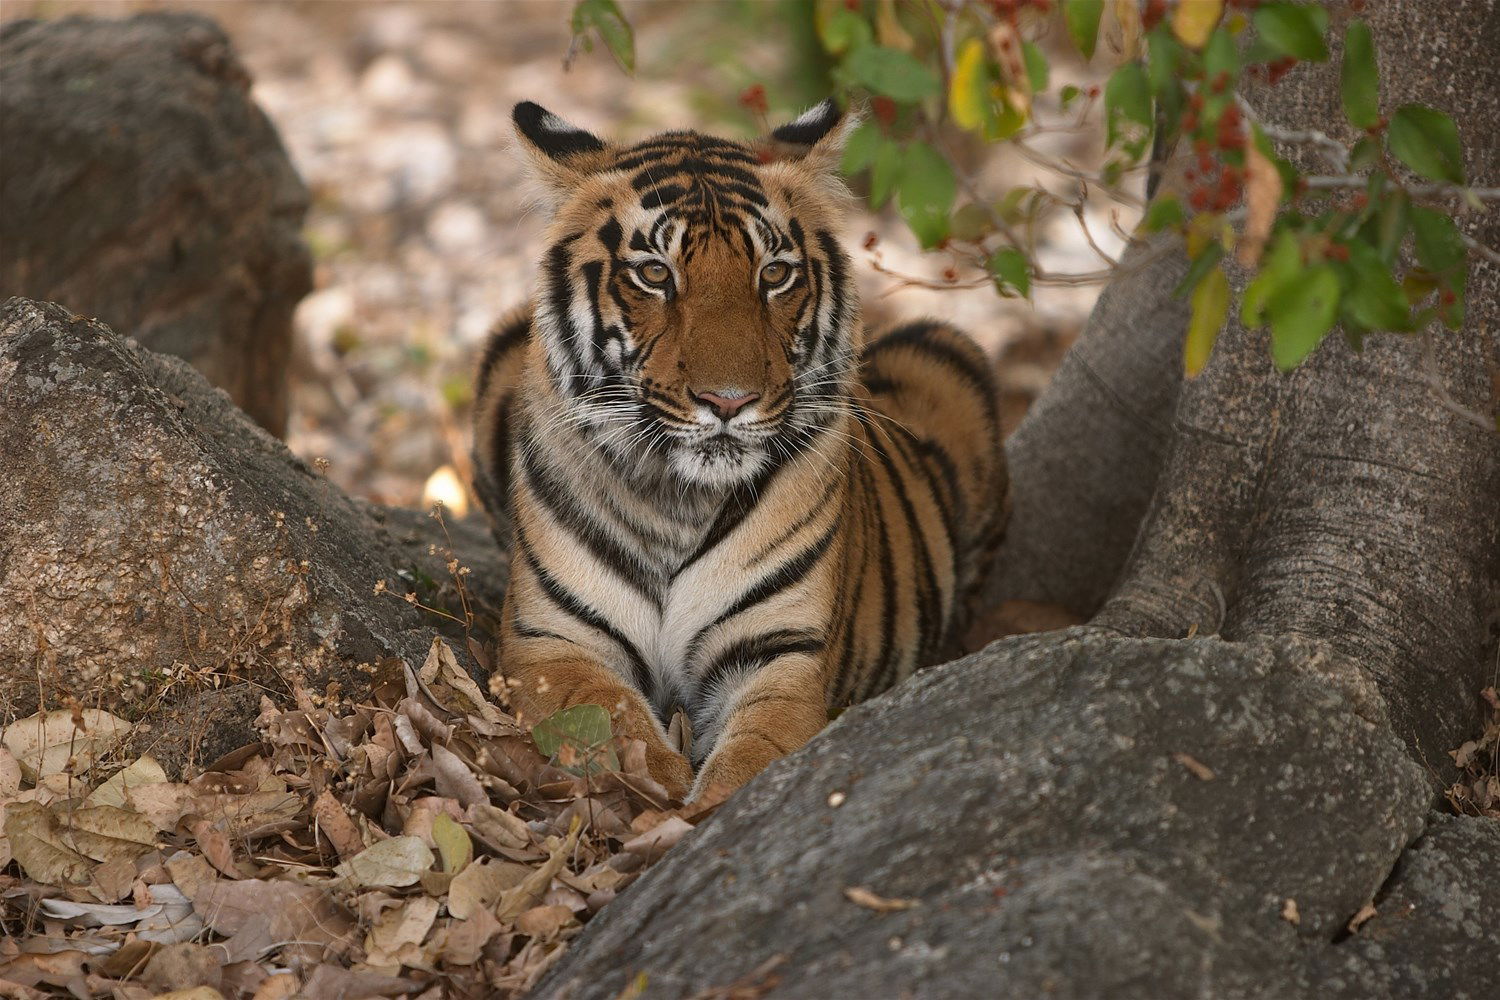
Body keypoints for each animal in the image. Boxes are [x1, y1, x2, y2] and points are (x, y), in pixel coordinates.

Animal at [472, 99, 1007, 801]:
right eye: (655, 273)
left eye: (774, 274)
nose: (728, 402)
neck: (677, 501)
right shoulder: (551, 642)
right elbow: (609, 723)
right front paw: (659, 787)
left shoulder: (780, 651)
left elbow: (756, 757)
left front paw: (693, 810)